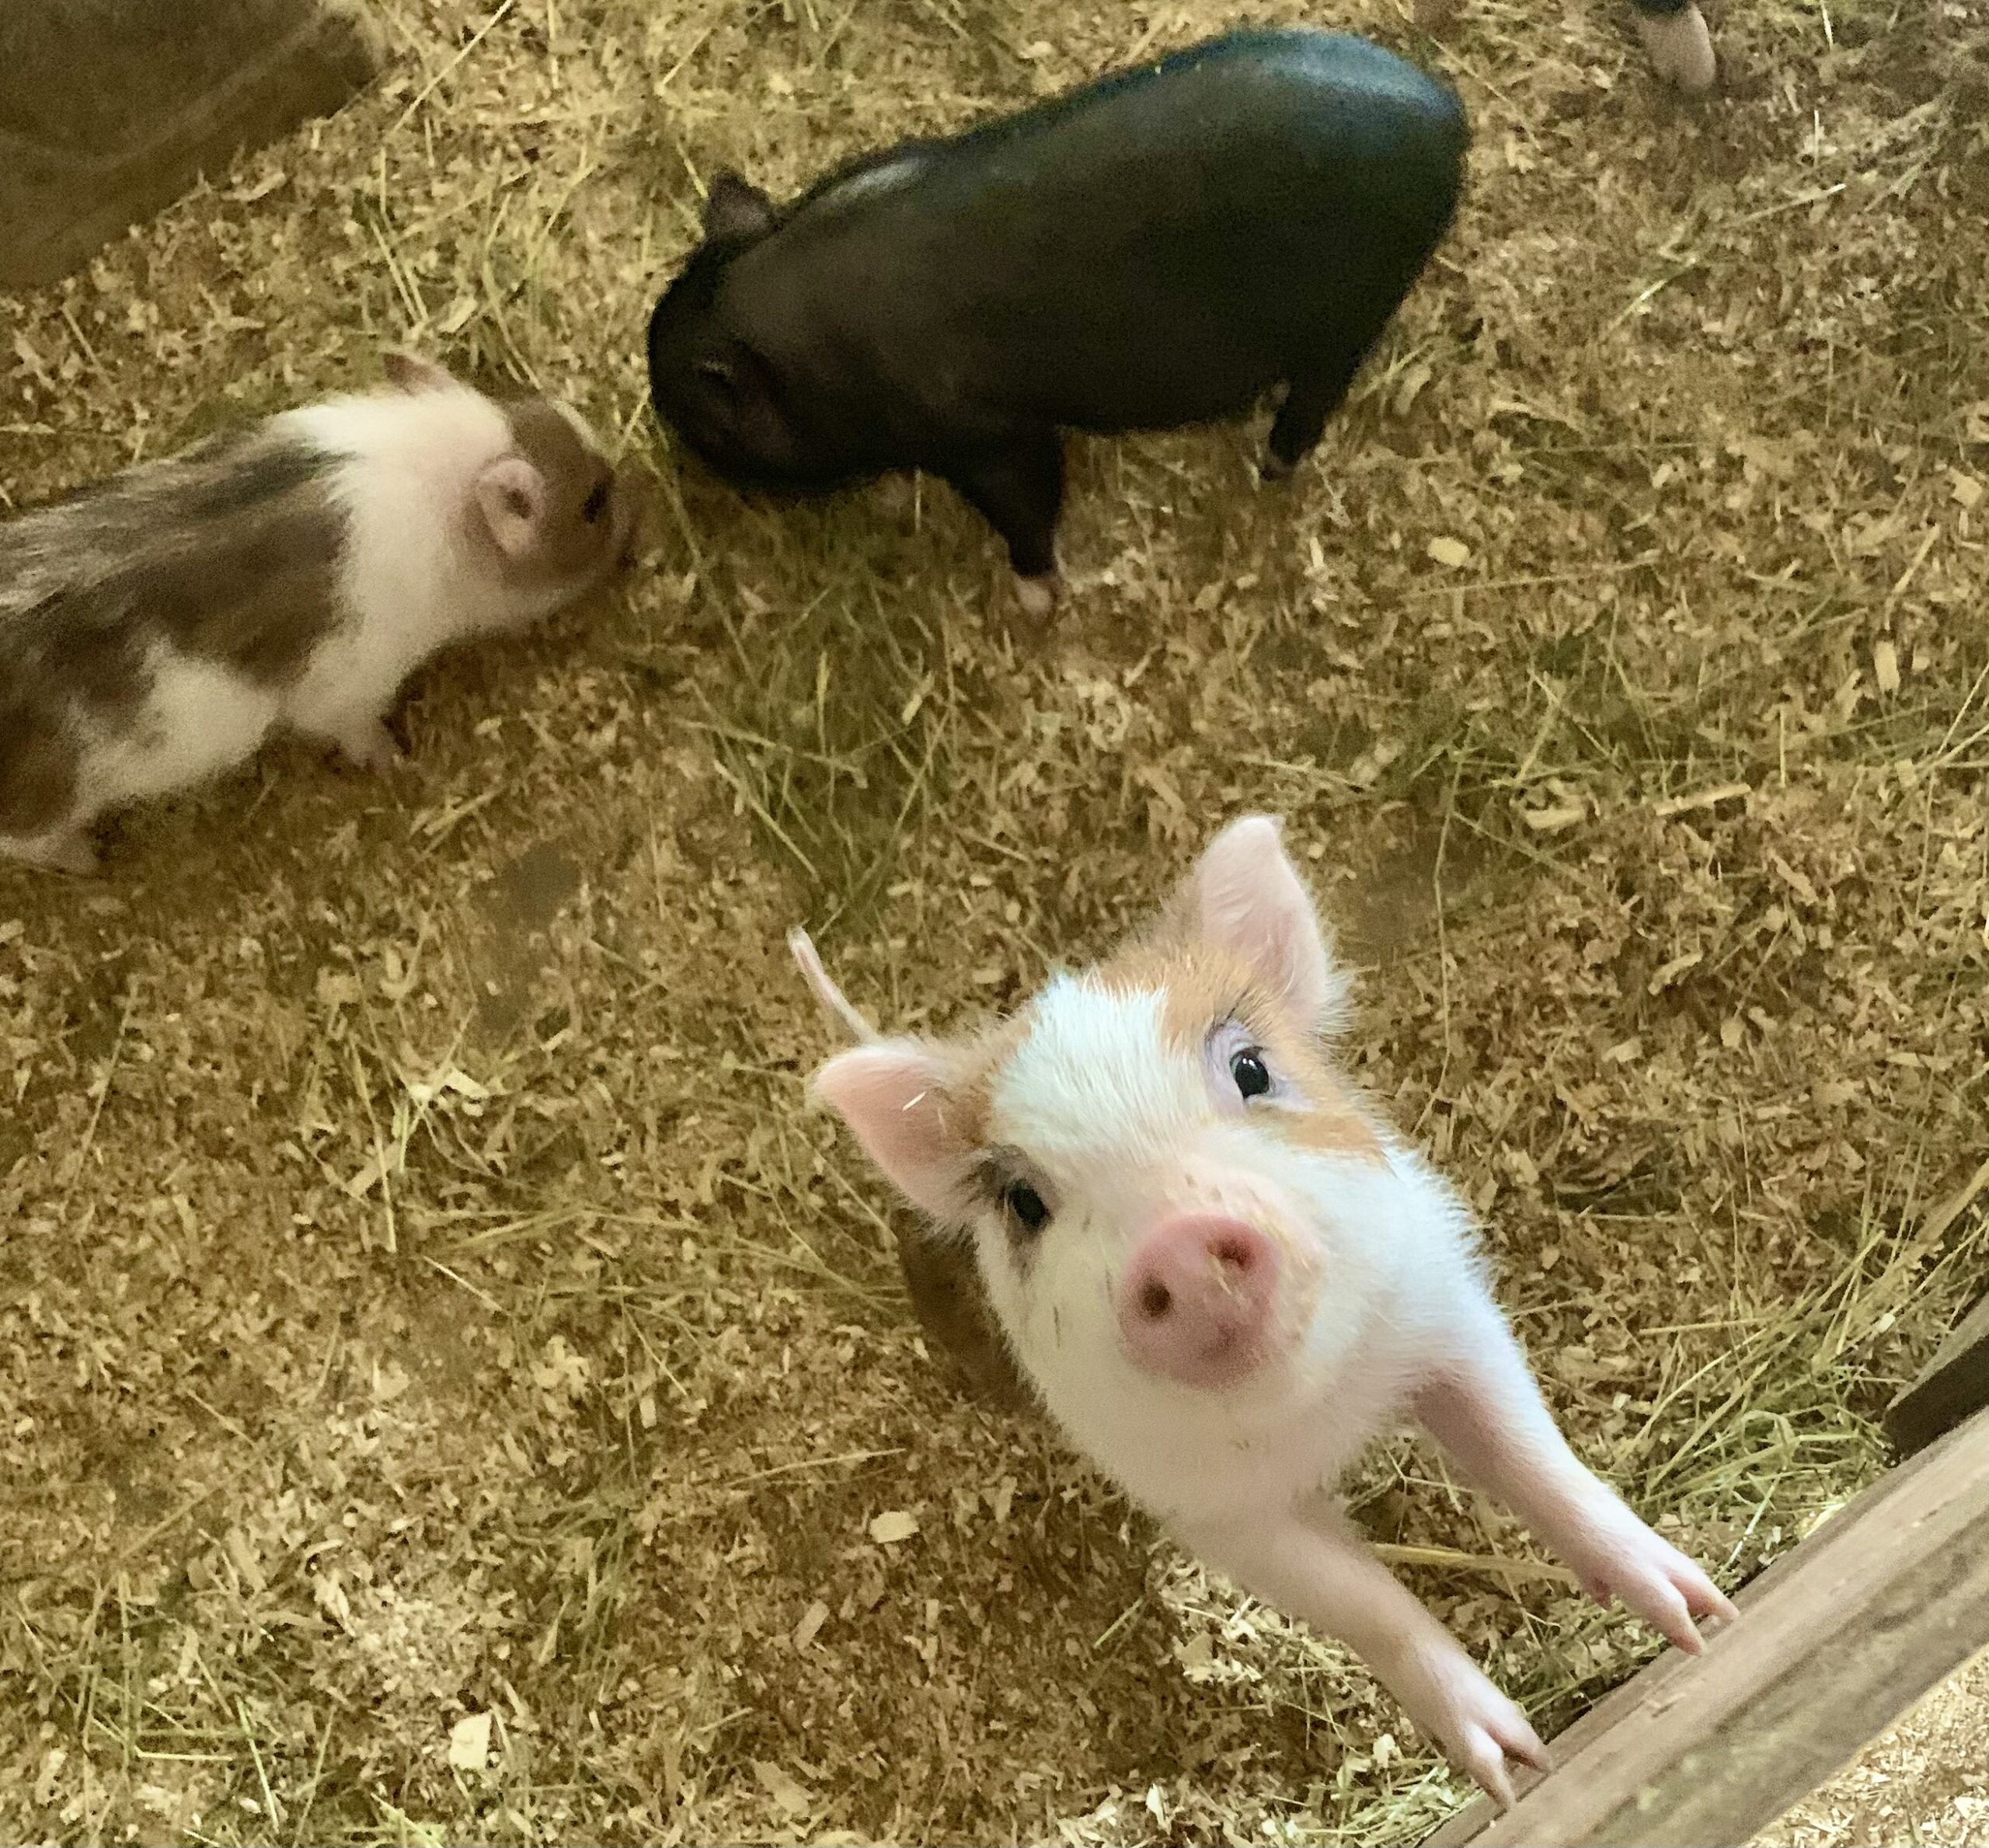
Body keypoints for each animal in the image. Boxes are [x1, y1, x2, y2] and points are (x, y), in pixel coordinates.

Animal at [0, 352, 635, 873]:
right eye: (592, 503)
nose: (641, 501)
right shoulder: (347, 683)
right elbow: (353, 727)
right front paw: (394, 759)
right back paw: (90, 861)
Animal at [646, 27, 1467, 617]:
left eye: (701, 423)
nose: (676, 467)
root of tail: (1448, 118)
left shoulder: (991, 431)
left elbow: (1031, 499)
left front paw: (1032, 602)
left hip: (1355, 310)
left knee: (1318, 393)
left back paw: (1272, 465)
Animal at [793, 817, 1736, 1806]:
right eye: (1023, 1201)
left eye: (1250, 1068)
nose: (1176, 1241)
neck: (1318, 1415)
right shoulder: (1206, 1505)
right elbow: (1360, 1602)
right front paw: (1516, 1772)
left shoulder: (1444, 1307)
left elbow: (1531, 1456)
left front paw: (1700, 1620)